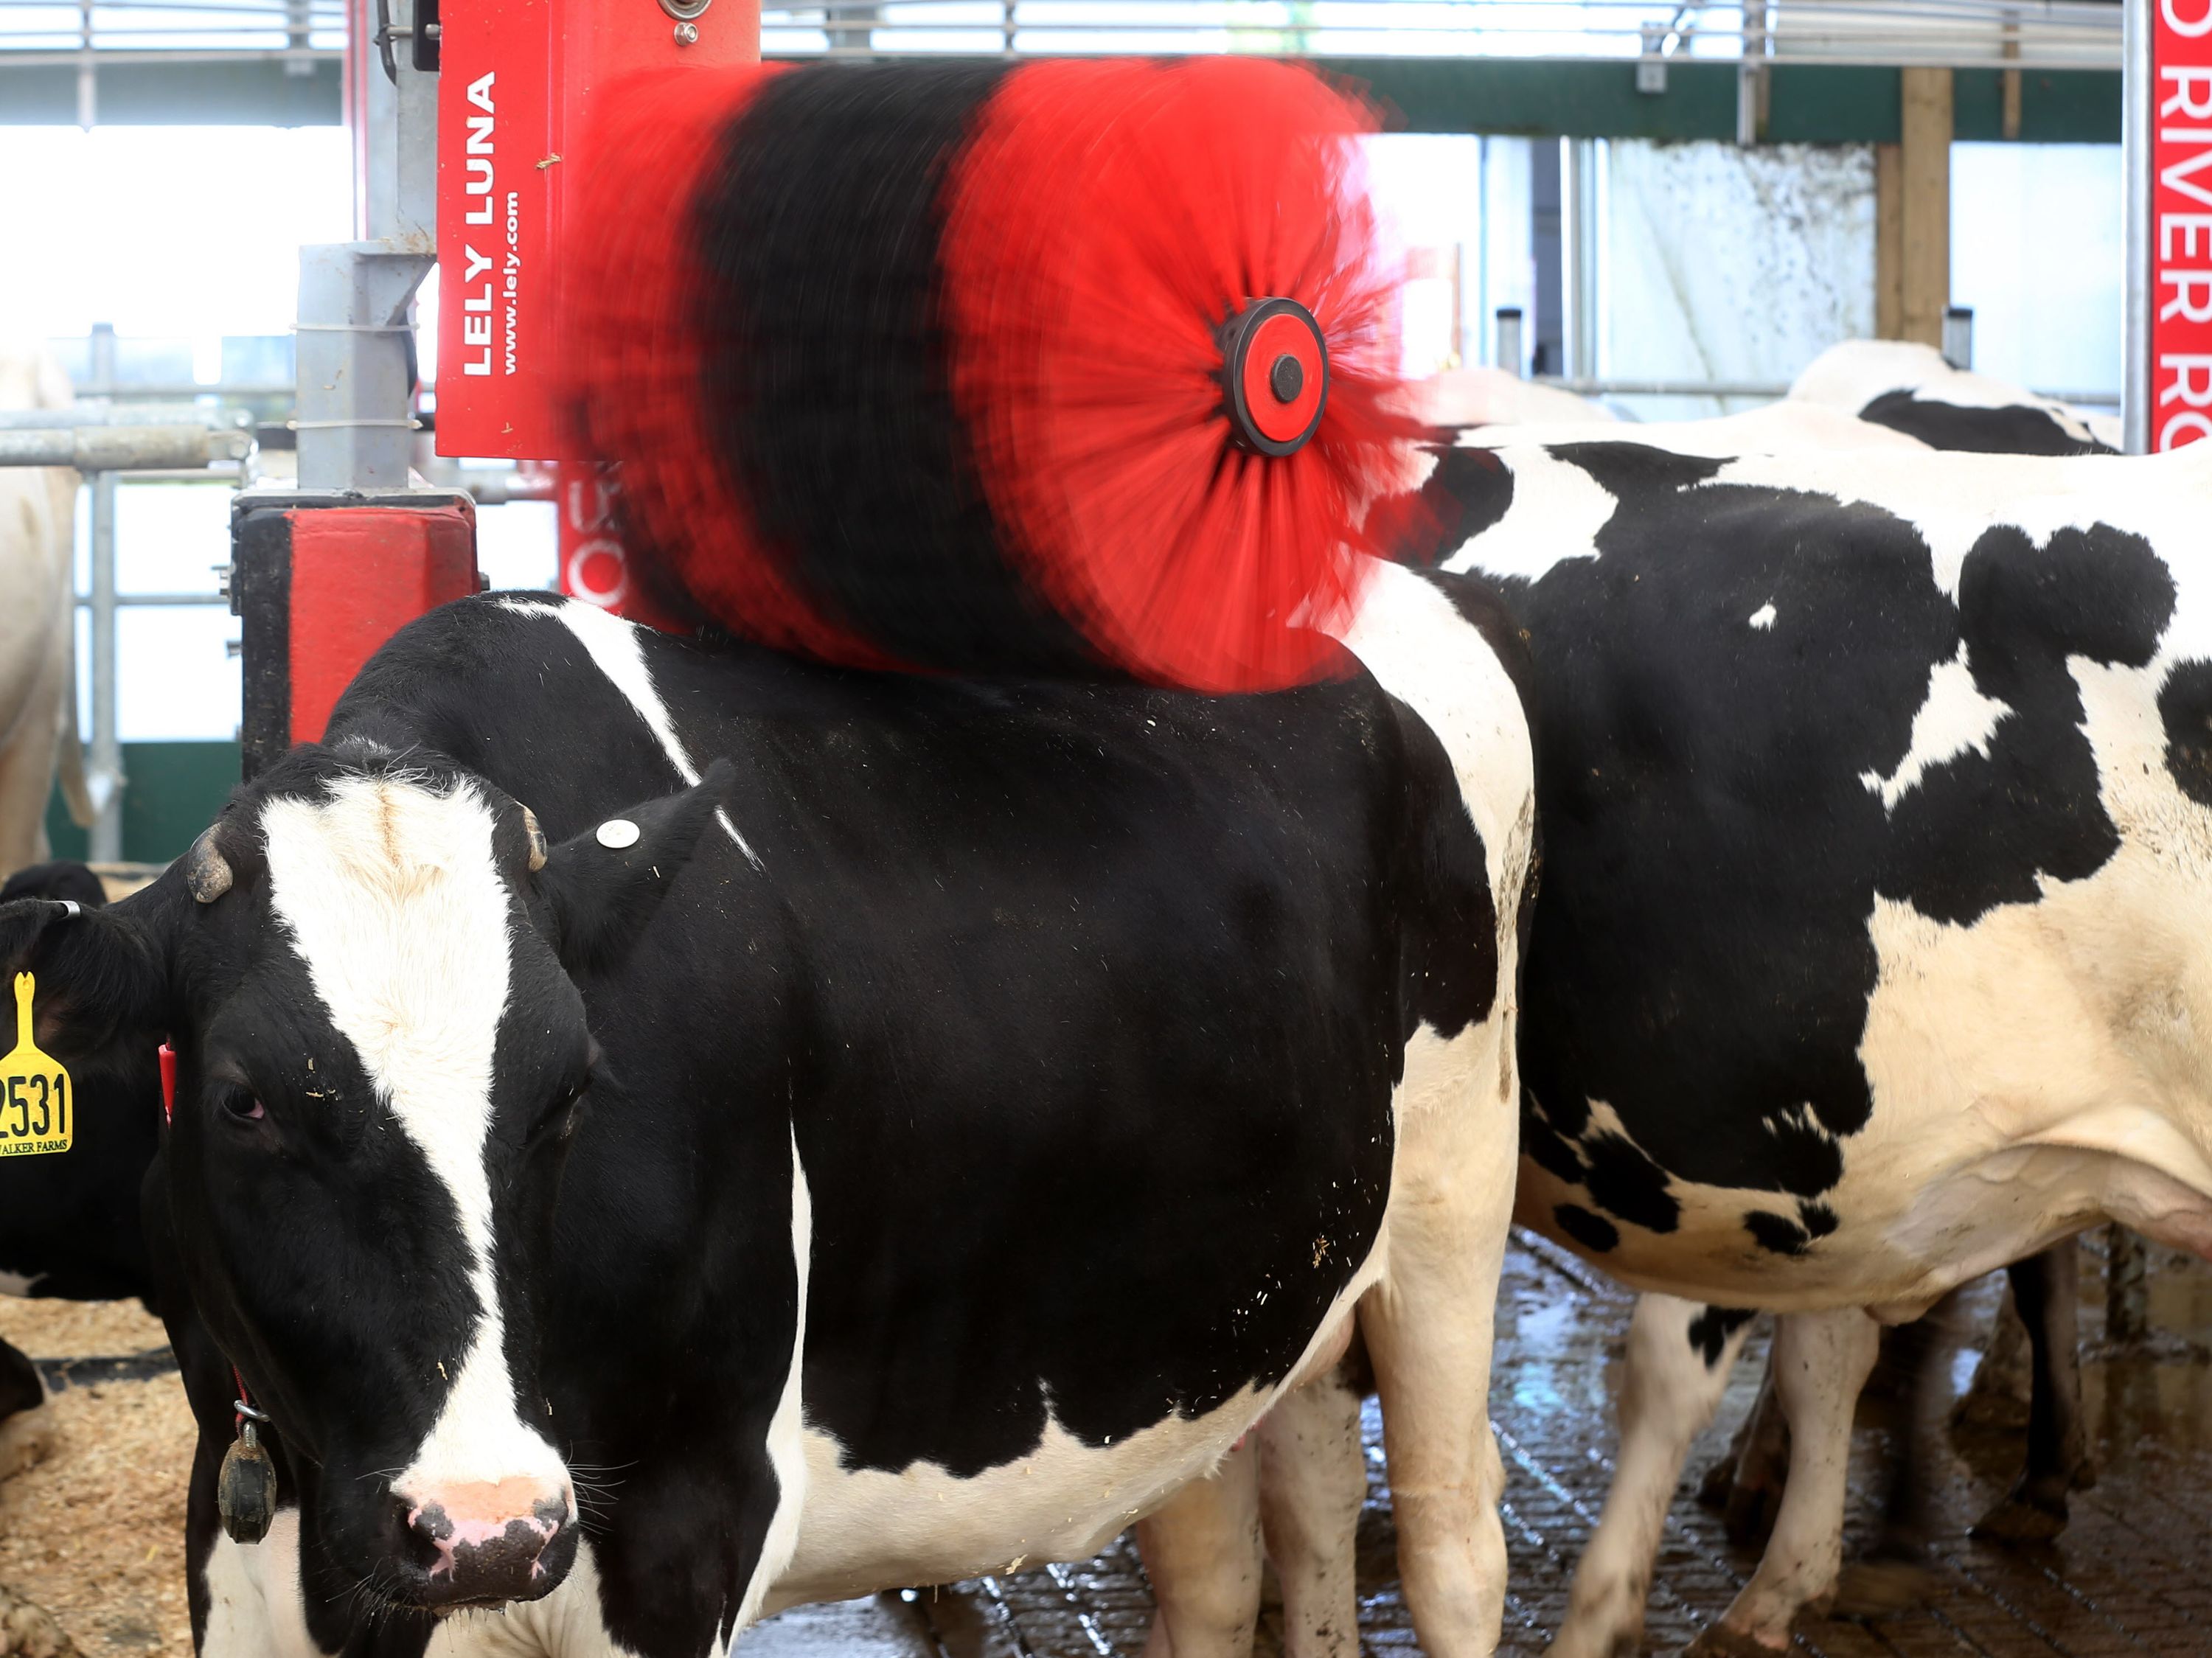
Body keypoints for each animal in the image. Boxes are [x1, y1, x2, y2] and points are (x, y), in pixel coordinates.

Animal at [2, 565, 1534, 1658]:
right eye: (242, 1097)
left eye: (574, 1087)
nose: (484, 1523)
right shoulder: (243, 1519)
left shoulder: (685, 1523)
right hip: (1226, 1310)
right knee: (1260, 1539)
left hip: (1456, 1212)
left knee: (1459, 1550)